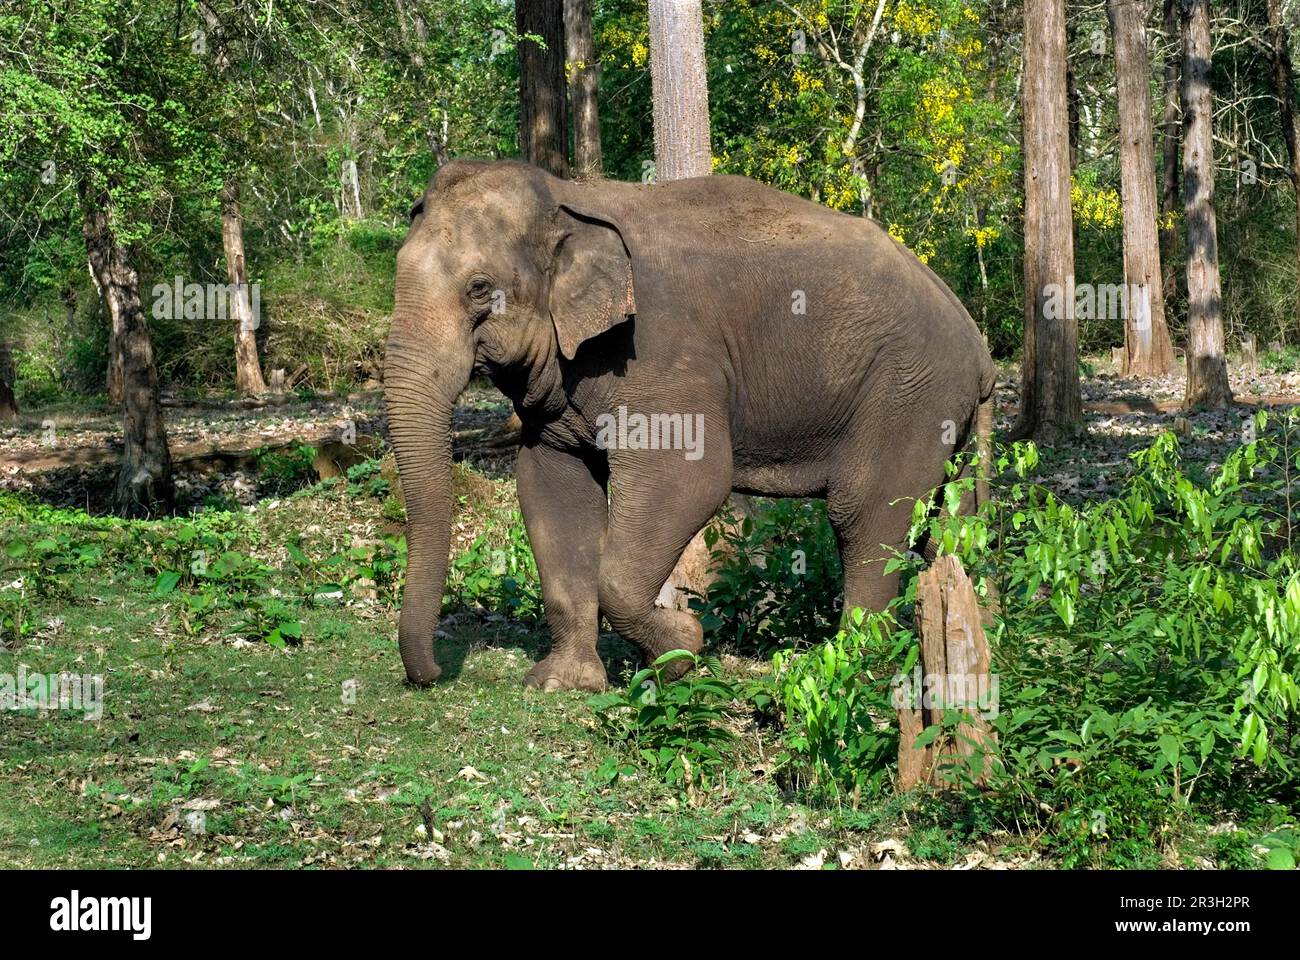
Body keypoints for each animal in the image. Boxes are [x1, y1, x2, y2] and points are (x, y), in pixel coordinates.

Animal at [385, 158, 996, 690]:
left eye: (479, 288)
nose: (432, 674)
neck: (570, 196)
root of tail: (979, 344)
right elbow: (552, 488)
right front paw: (561, 683)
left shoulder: (665, 352)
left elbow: (692, 478)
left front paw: (681, 650)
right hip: (943, 415)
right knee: (947, 521)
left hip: (909, 391)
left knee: (865, 513)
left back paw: (846, 667)